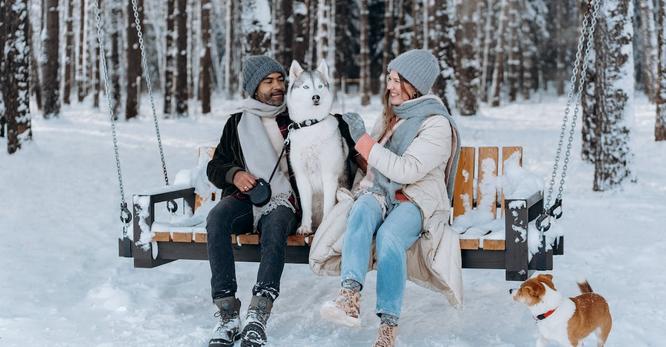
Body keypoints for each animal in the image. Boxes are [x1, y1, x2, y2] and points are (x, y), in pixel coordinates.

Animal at [286, 60, 348, 237]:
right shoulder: (301, 178)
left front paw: (323, 228)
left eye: (320, 86)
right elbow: (306, 208)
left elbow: (329, 206)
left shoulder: (329, 176)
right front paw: (305, 227)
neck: (311, 125)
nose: (316, 97)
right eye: (306, 86)